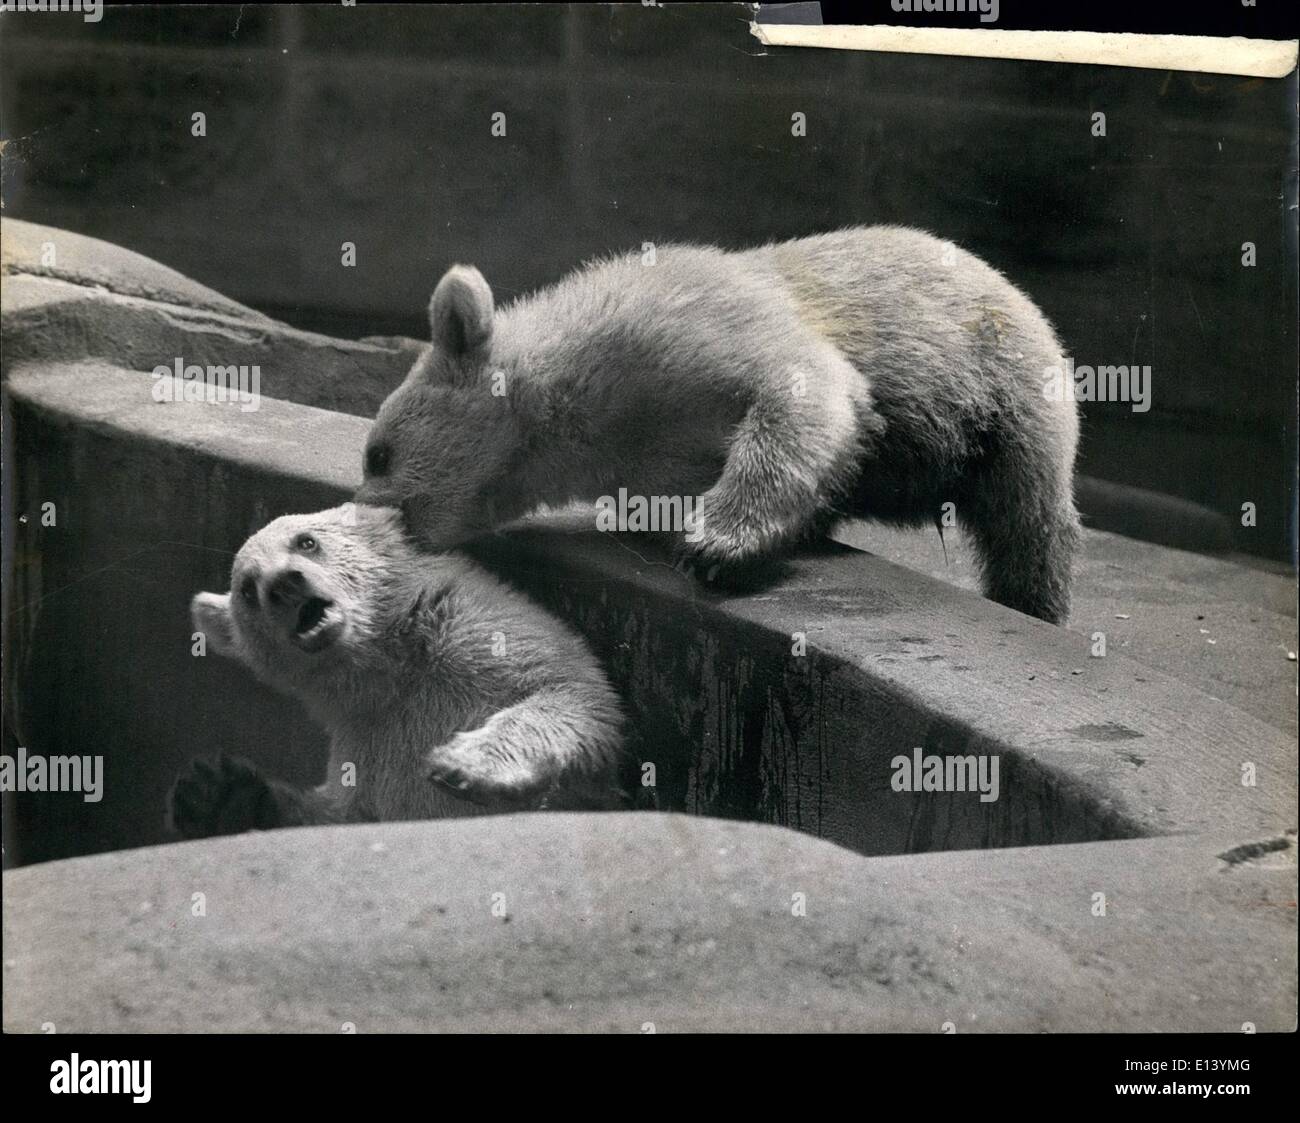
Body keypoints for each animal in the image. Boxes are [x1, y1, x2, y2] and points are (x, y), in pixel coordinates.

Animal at [169, 503, 627, 839]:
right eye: (247, 589)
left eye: (306, 541)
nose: (284, 584)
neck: (390, 667)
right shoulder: (365, 742)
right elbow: (346, 815)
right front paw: (218, 794)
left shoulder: (482, 635)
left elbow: (572, 696)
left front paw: (461, 764)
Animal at [354, 226, 1081, 624]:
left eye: (376, 454)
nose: (362, 520)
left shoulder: (679, 322)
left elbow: (803, 386)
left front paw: (717, 545)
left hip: (1005, 388)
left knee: (1028, 518)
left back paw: (1033, 601)